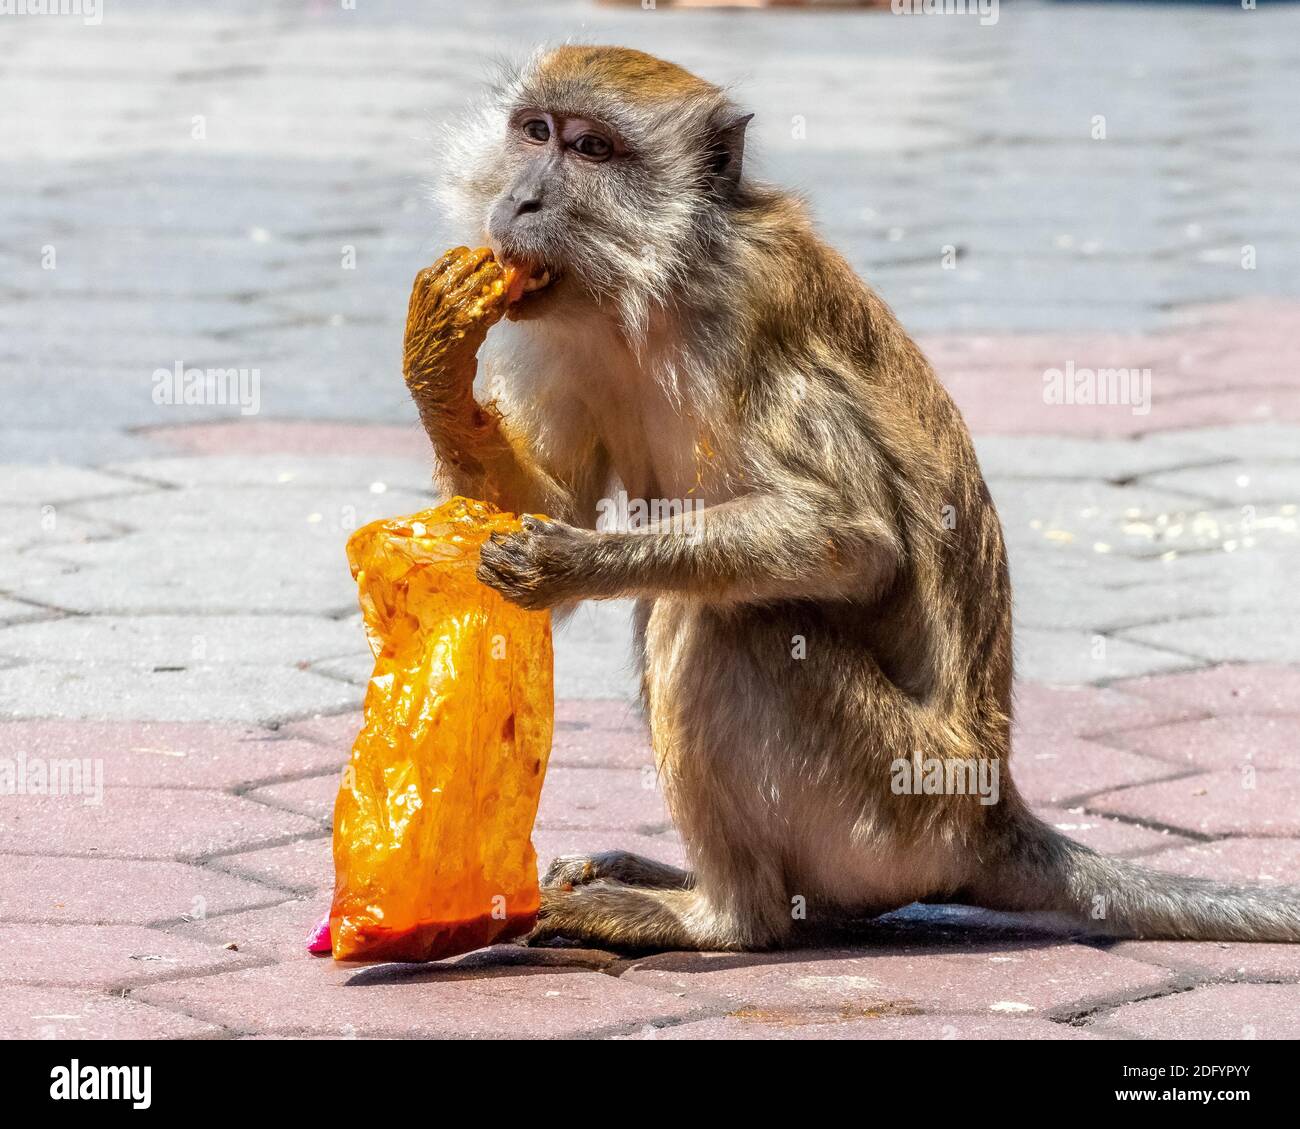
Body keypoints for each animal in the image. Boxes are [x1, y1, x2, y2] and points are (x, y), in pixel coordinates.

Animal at [400, 45, 1300, 952]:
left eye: (590, 149)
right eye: (534, 131)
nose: (521, 199)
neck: (648, 292)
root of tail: (988, 811)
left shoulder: (745, 321)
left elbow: (856, 540)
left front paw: (570, 560)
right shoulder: (558, 330)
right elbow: (550, 505)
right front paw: (436, 360)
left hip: (894, 805)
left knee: (722, 618)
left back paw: (723, 915)